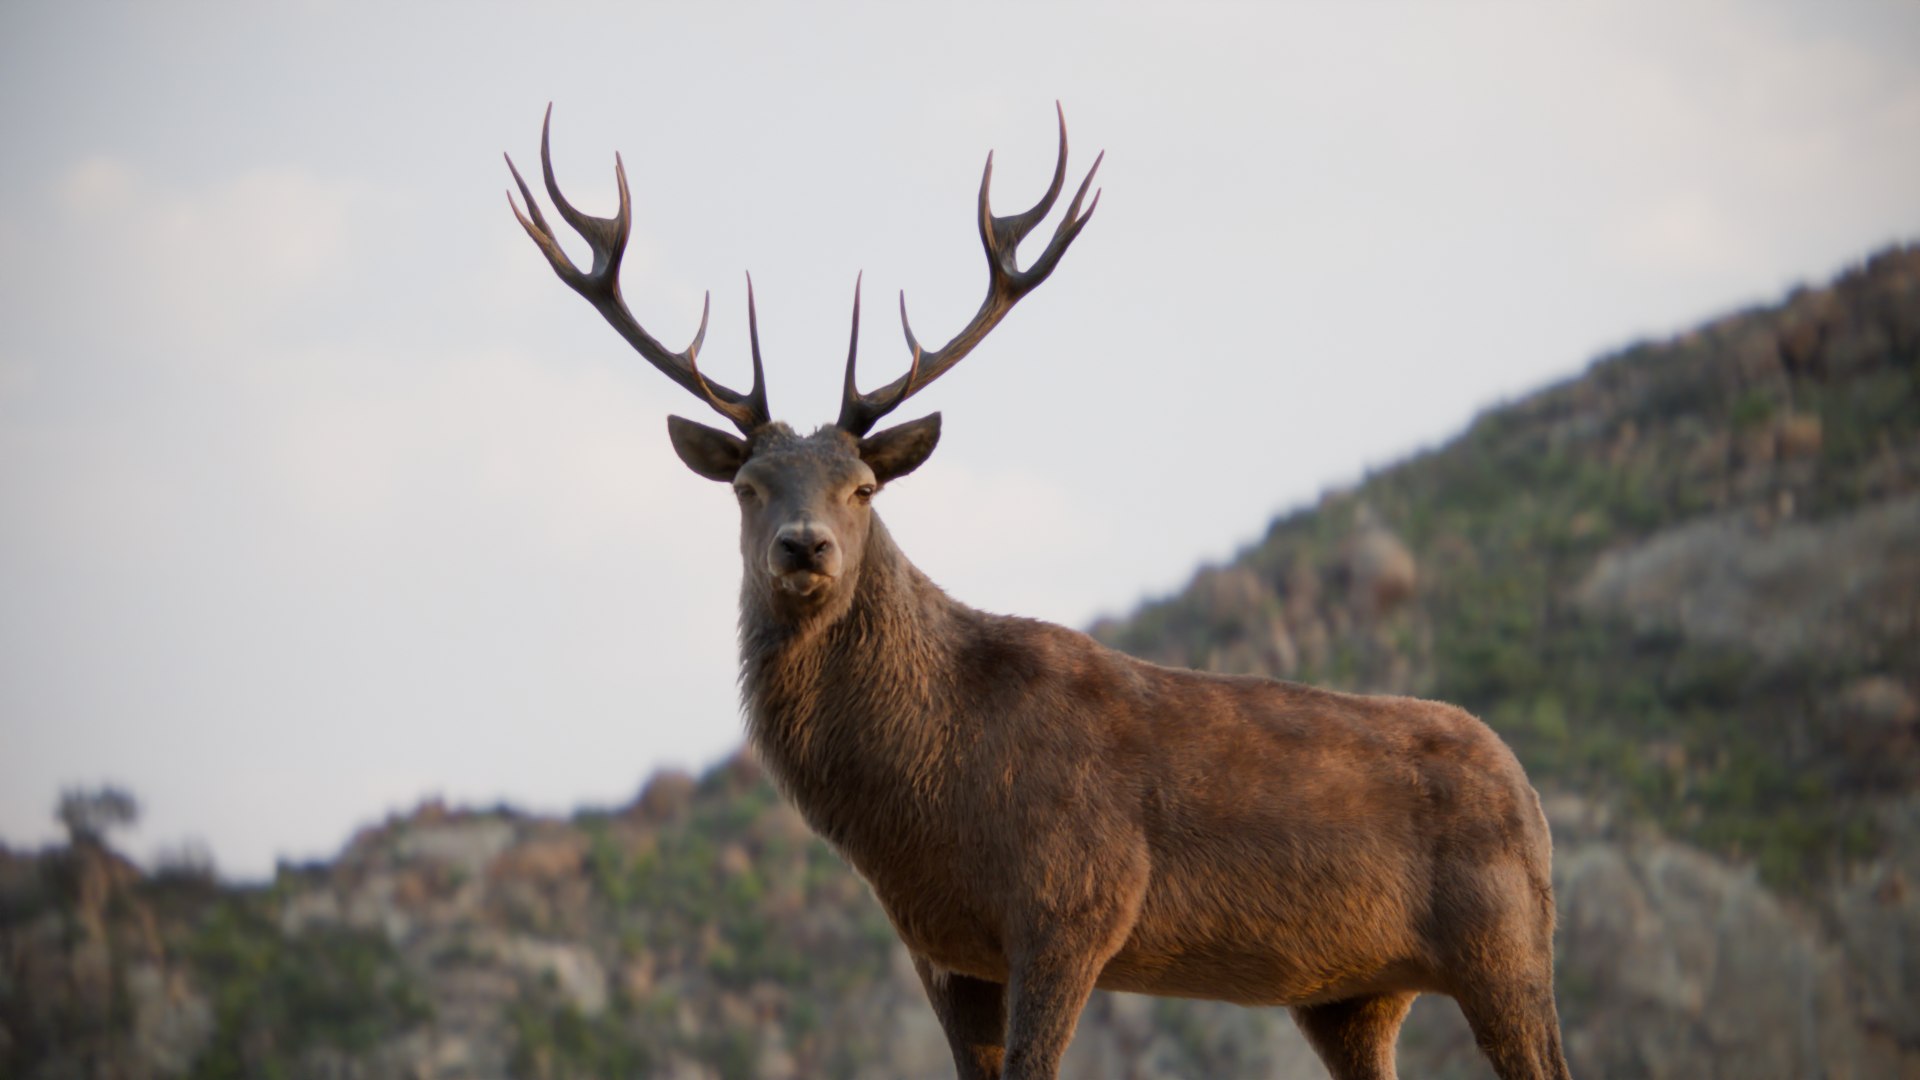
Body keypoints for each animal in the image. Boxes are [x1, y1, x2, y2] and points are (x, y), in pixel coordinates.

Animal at [506, 104, 1572, 1080]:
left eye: (864, 486)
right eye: (746, 486)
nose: (805, 548)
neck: (923, 811)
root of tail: (1529, 791)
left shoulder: (1075, 906)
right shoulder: (945, 952)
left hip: (1508, 945)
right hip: (1351, 993)